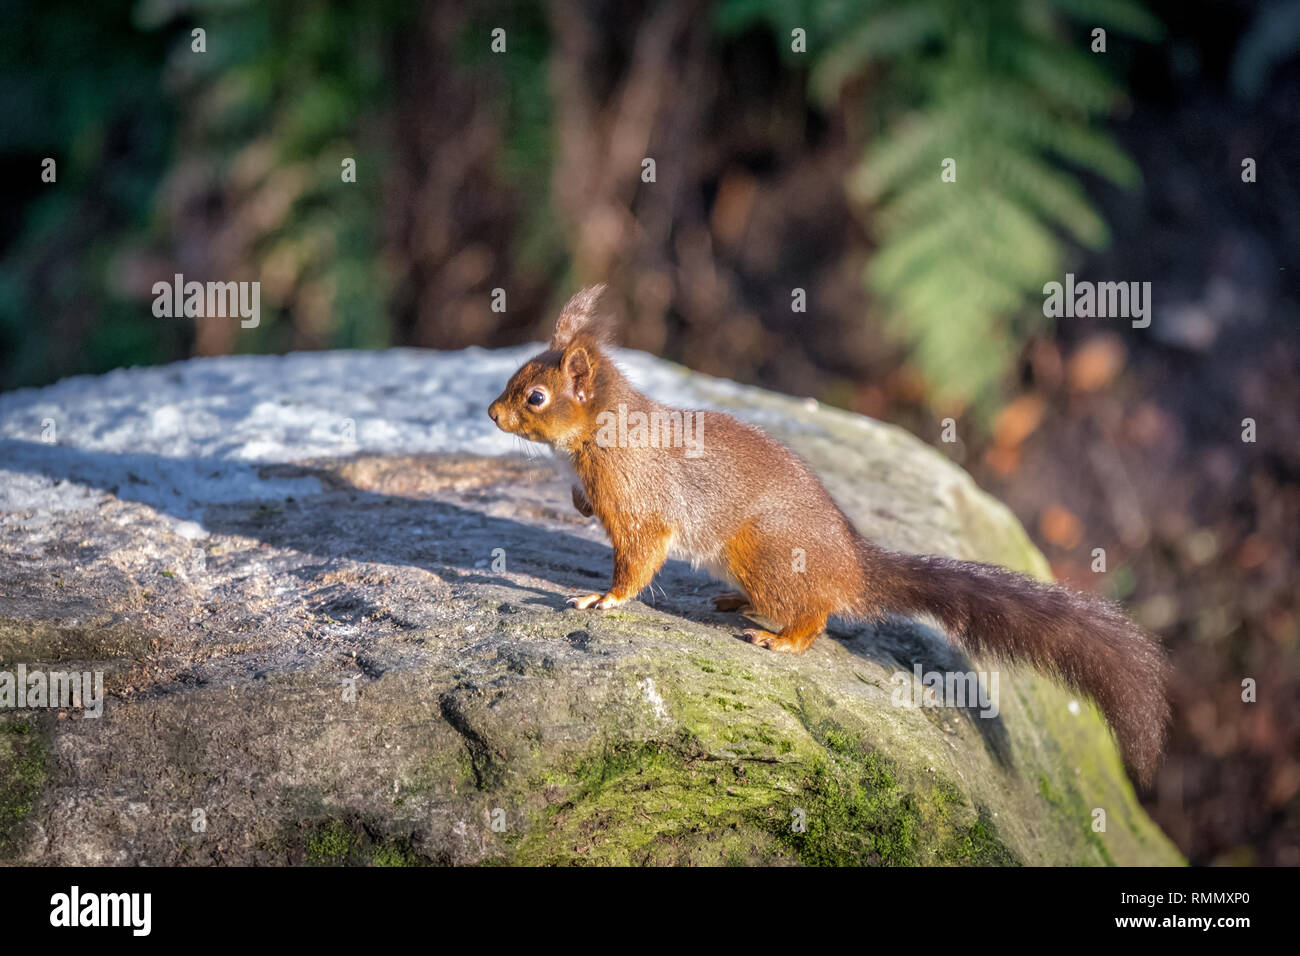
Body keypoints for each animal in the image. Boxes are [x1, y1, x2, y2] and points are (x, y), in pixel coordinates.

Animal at [488, 285, 1170, 783]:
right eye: (513, 374)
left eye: (537, 396)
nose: (492, 413)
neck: (603, 433)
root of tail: (850, 565)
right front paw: (577, 506)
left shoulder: (641, 505)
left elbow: (636, 562)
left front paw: (602, 598)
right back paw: (738, 603)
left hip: (764, 553)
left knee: (816, 613)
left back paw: (782, 639)